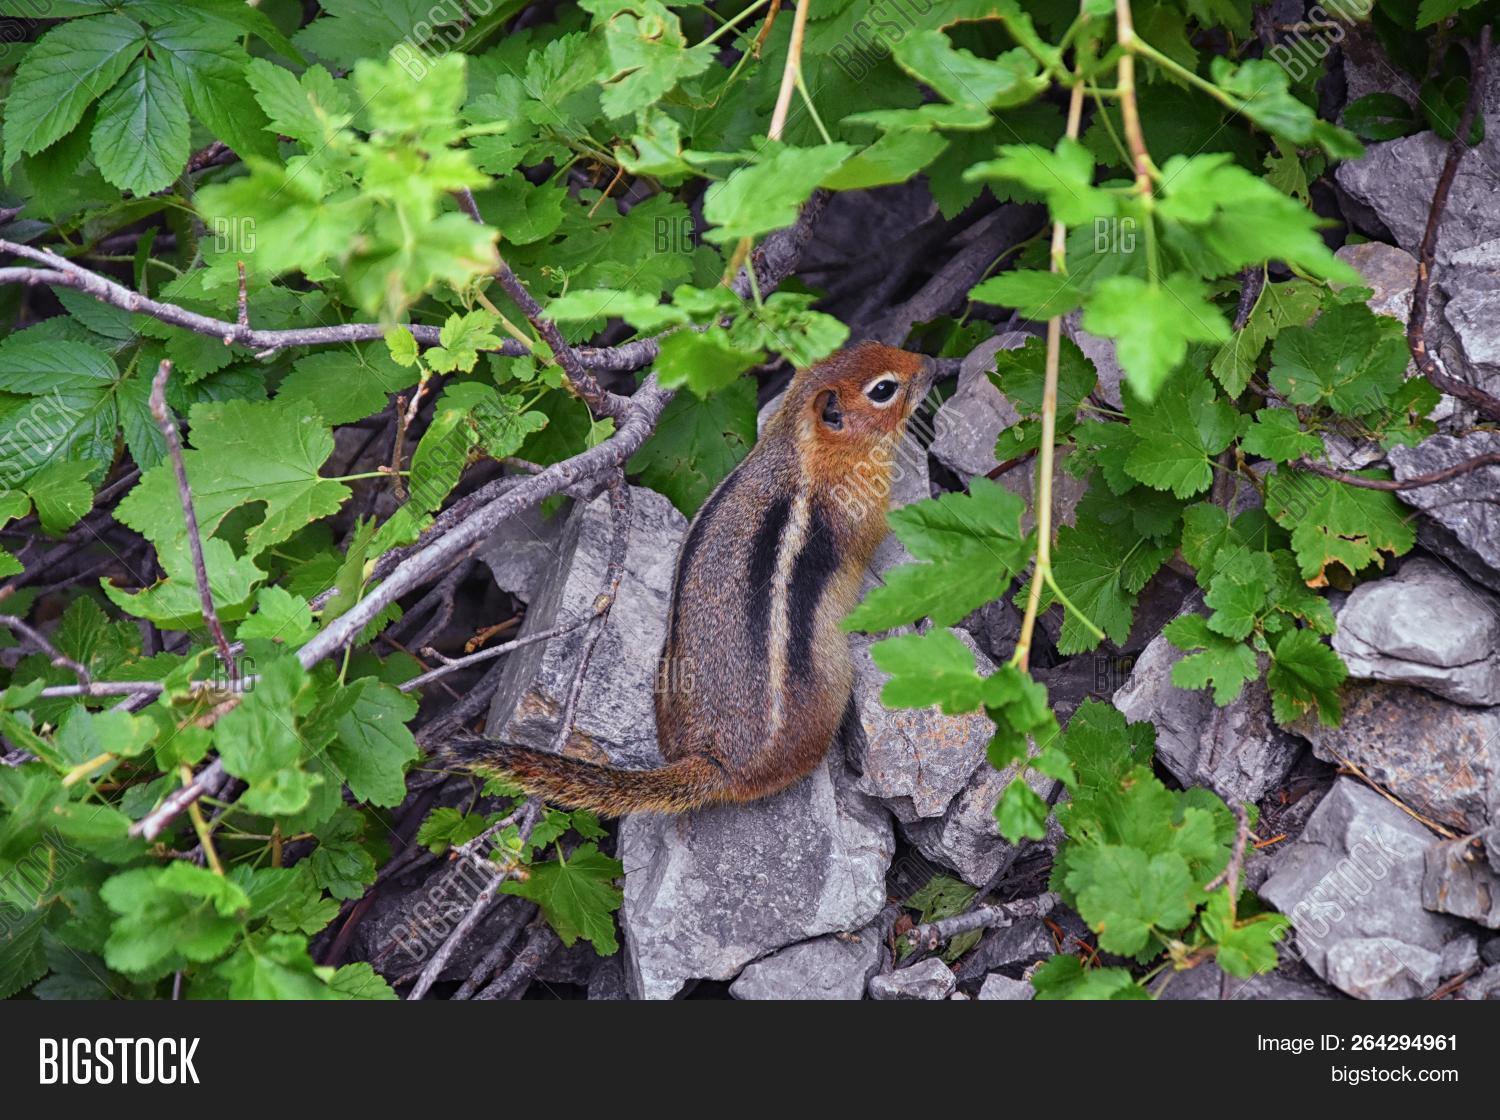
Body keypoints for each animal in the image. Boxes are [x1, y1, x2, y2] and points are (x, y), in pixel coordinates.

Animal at [441, 340, 936, 816]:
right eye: (883, 389)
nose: (929, 363)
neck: (800, 445)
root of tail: (711, 758)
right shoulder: (856, 513)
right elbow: (875, 535)